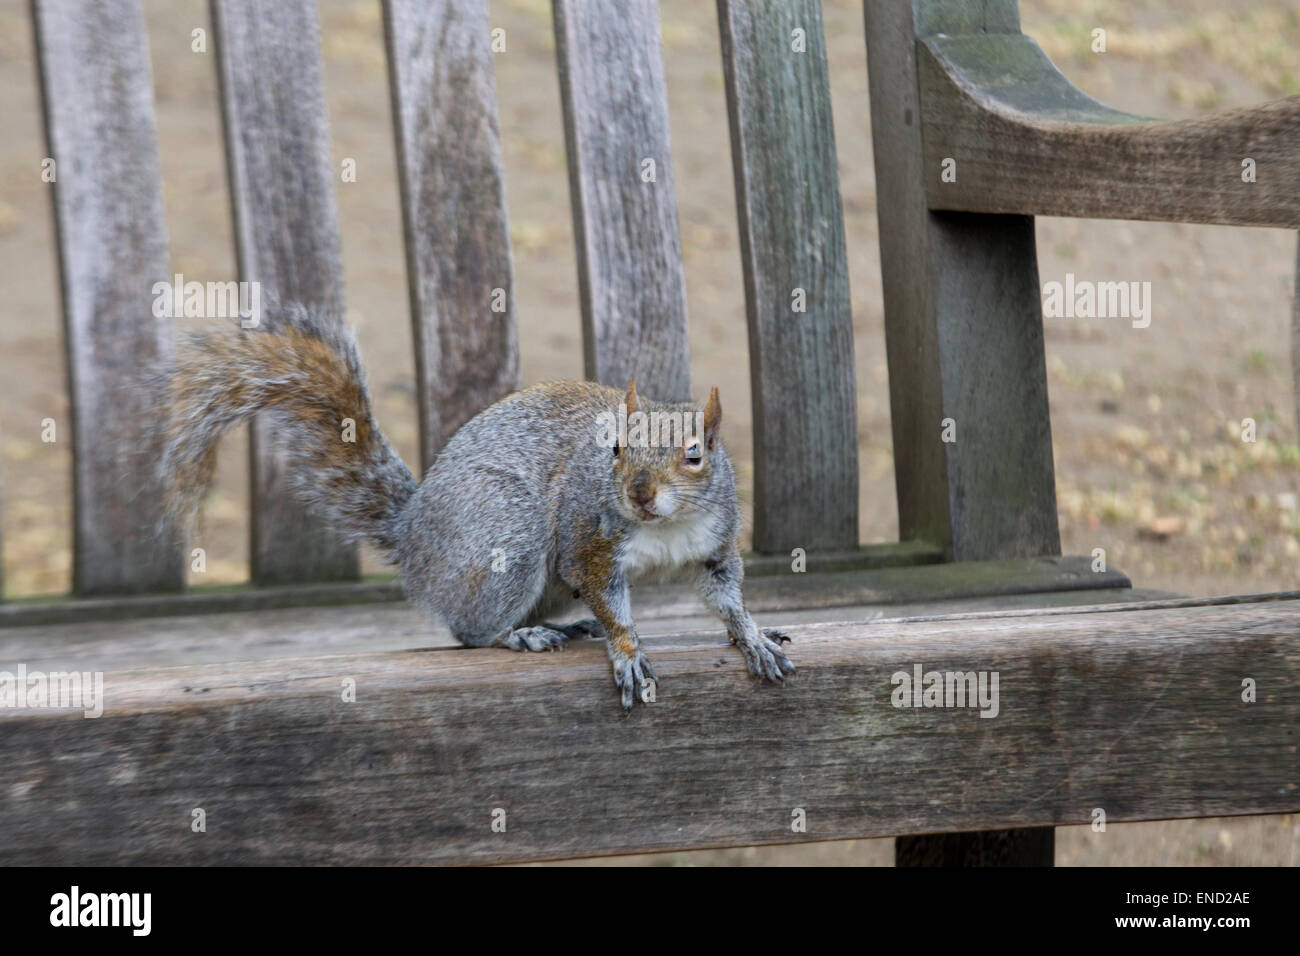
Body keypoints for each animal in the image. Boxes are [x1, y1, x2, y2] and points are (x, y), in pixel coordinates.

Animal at [161, 302, 794, 708]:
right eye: (614, 447)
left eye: (696, 455)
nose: (639, 492)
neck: (664, 527)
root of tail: (414, 537)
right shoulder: (588, 545)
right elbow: (614, 607)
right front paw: (627, 649)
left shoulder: (714, 546)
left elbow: (726, 598)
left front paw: (754, 636)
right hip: (507, 533)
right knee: (469, 632)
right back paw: (518, 636)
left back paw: (565, 626)